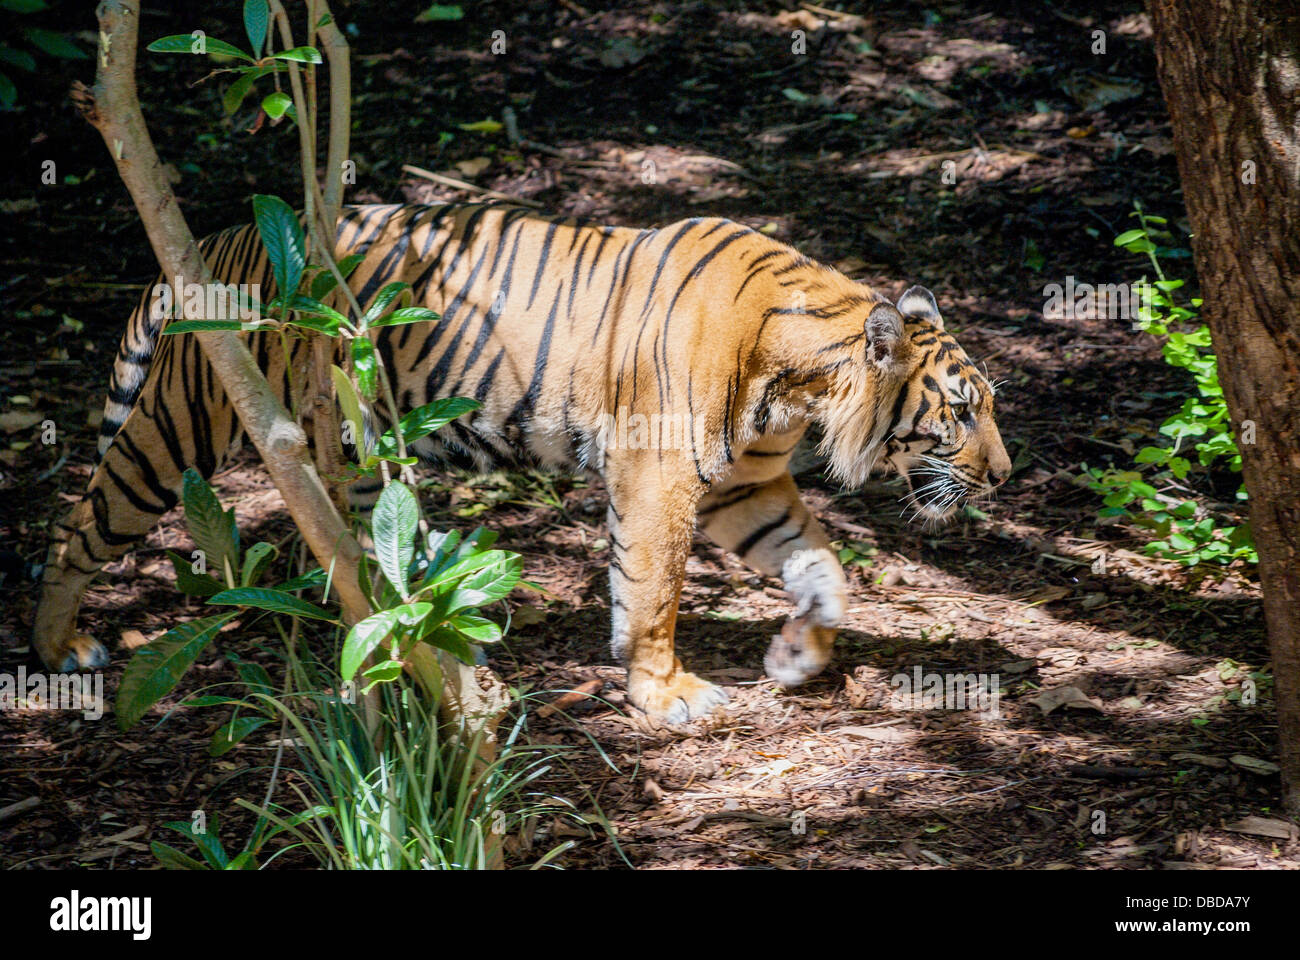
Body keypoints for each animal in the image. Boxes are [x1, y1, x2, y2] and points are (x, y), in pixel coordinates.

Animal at [34, 202, 1010, 724]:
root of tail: (216, 243)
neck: (802, 389)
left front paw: (802, 653)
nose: (1004, 475)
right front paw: (666, 692)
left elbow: (819, 562)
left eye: (989, 404)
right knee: (76, 524)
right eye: (962, 411)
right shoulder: (660, 477)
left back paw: (397, 614)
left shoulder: (745, 486)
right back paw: (57, 644)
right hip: (175, 432)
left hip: (348, 446)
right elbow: (653, 589)